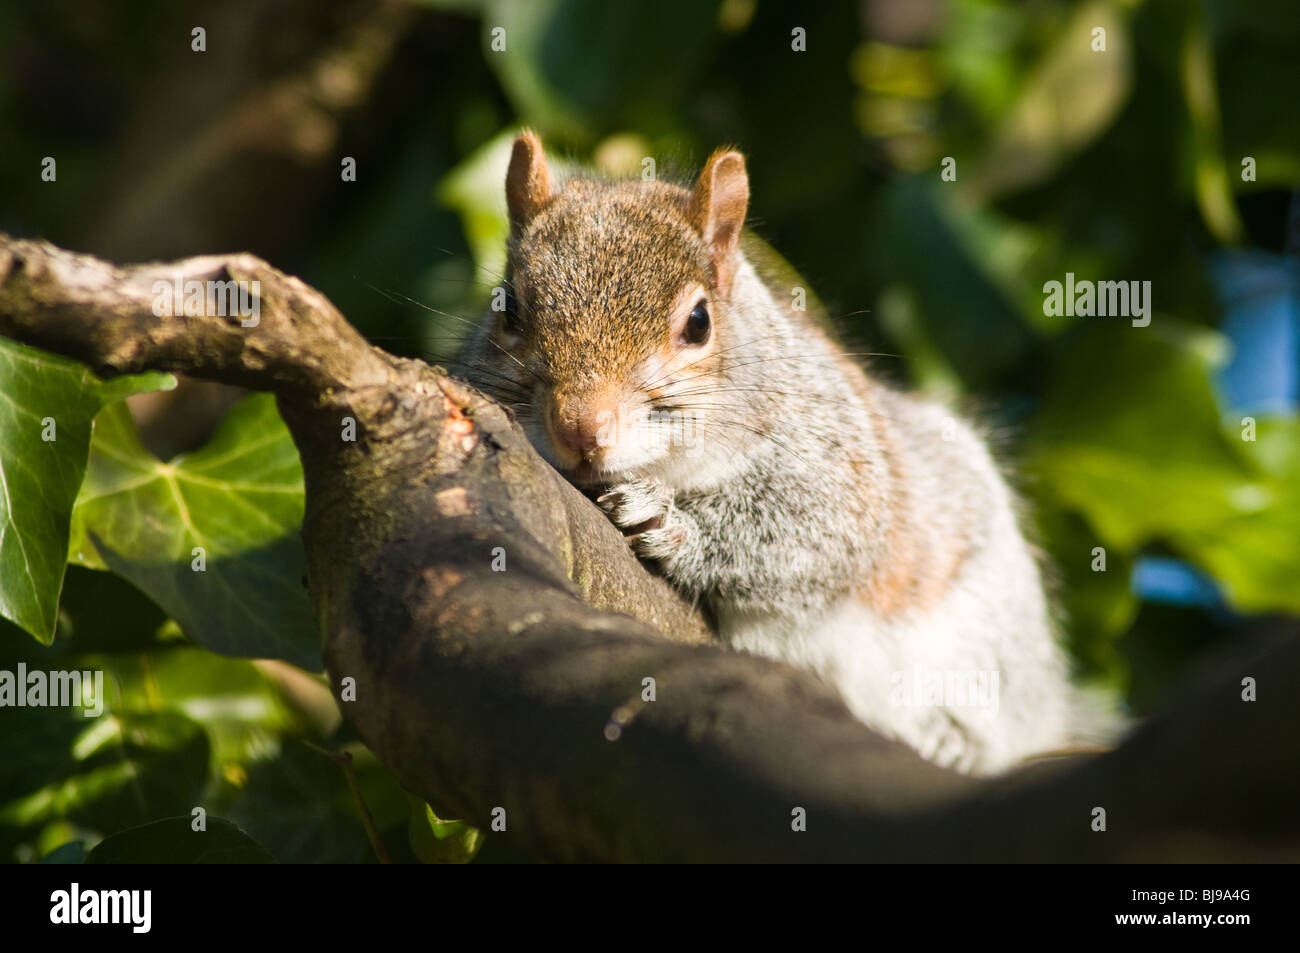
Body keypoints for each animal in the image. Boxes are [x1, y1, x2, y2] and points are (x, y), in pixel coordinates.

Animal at [457, 131, 1102, 774]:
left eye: (699, 322)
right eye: (507, 307)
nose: (582, 428)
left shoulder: (841, 465)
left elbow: (809, 534)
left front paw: (671, 521)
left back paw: (956, 738)